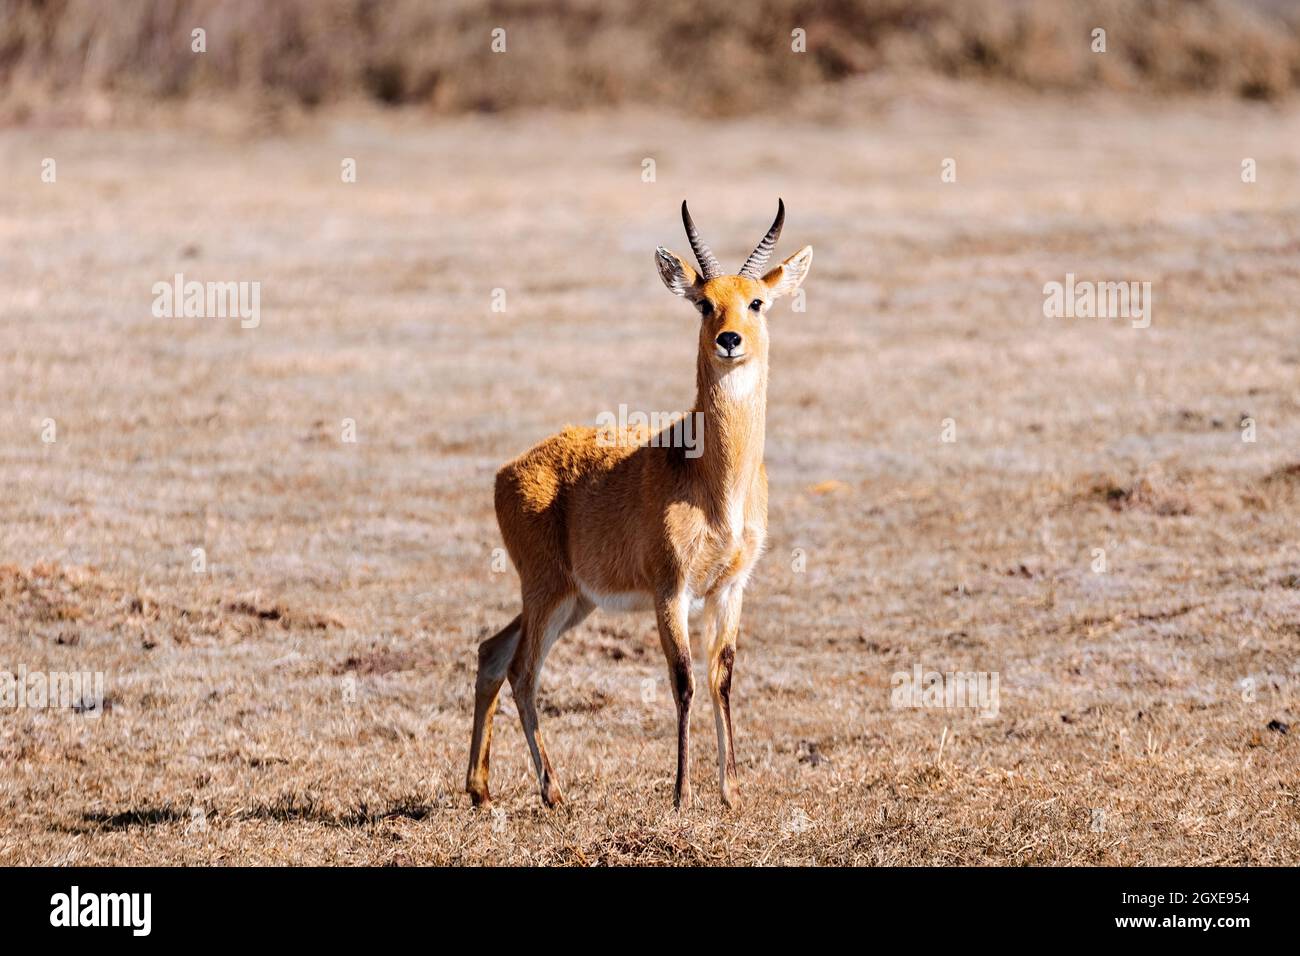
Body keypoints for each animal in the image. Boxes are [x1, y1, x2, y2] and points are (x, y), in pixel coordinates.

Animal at [466, 200, 812, 810]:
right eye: (704, 302)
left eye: (757, 301)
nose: (729, 340)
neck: (711, 480)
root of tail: (508, 470)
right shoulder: (669, 590)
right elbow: (683, 680)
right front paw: (681, 795)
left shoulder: (731, 587)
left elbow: (721, 677)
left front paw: (732, 792)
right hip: (548, 590)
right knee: (523, 671)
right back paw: (554, 793)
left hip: (574, 597)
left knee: (492, 651)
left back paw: (479, 789)